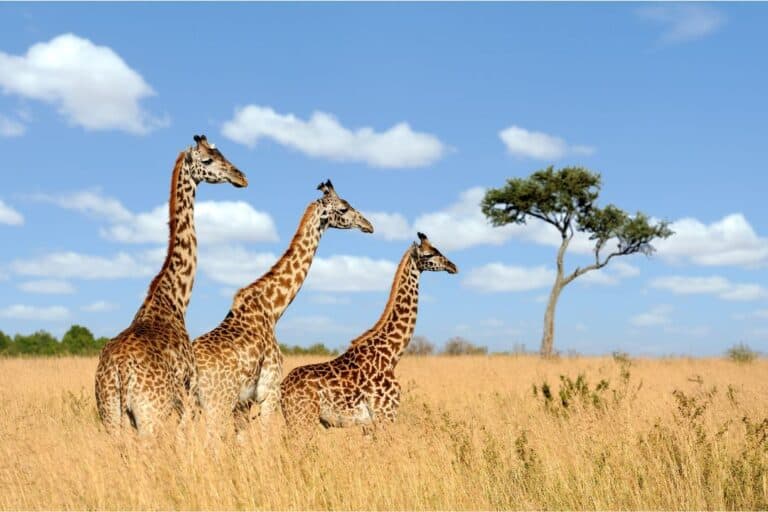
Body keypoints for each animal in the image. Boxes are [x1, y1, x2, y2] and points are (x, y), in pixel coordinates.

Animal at [94, 135, 248, 436]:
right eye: (207, 160)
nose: (241, 176)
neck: (174, 299)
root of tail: (118, 372)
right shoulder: (188, 394)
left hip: (111, 415)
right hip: (149, 415)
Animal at [193, 180, 374, 437]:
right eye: (344, 208)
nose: (368, 225)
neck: (272, 309)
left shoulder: (244, 402)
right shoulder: (269, 392)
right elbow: (266, 437)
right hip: (217, 402)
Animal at [280, 232, 457, 432]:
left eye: (437, 249)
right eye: (429, 254)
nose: (453, 266)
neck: (391, 354)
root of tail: (282, 389)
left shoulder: (369, 425)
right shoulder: (385, 415)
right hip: (303, 420)